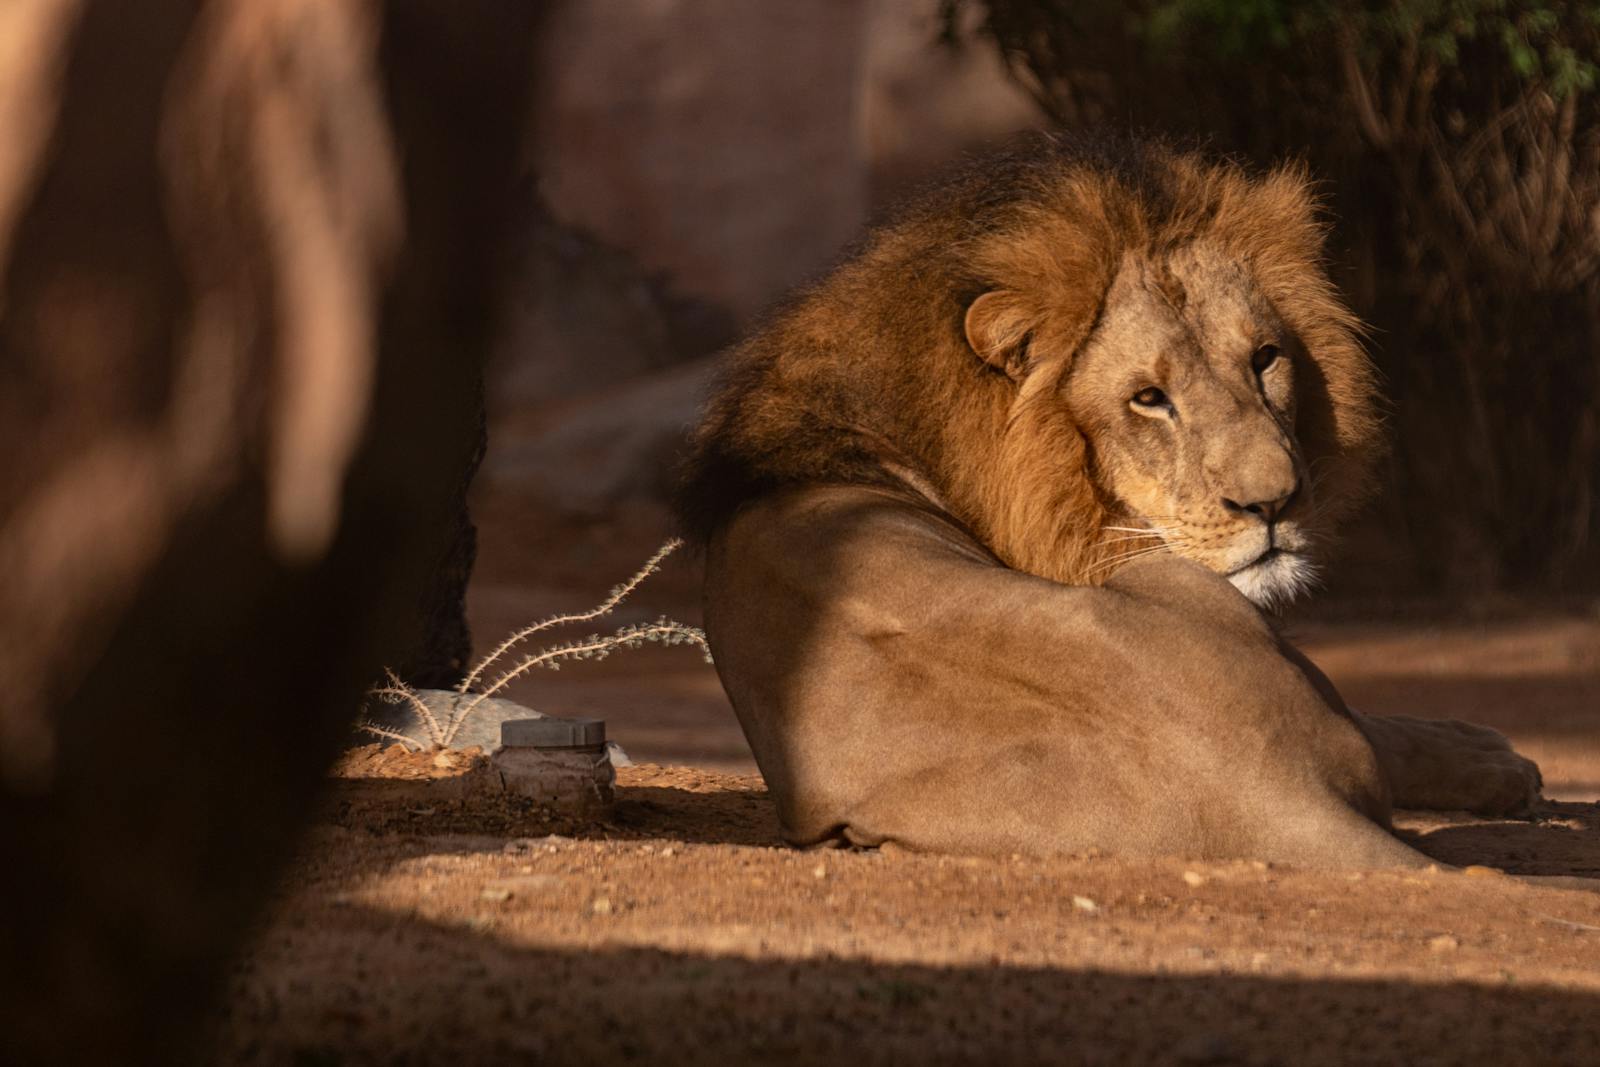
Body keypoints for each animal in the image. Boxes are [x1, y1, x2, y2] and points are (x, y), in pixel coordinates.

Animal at [677, 133, 1546, 870]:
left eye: (1266, 358)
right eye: (1149, 399)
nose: (1275, 501)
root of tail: (1280, 797)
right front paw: (1489, 754)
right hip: (1173, 580)